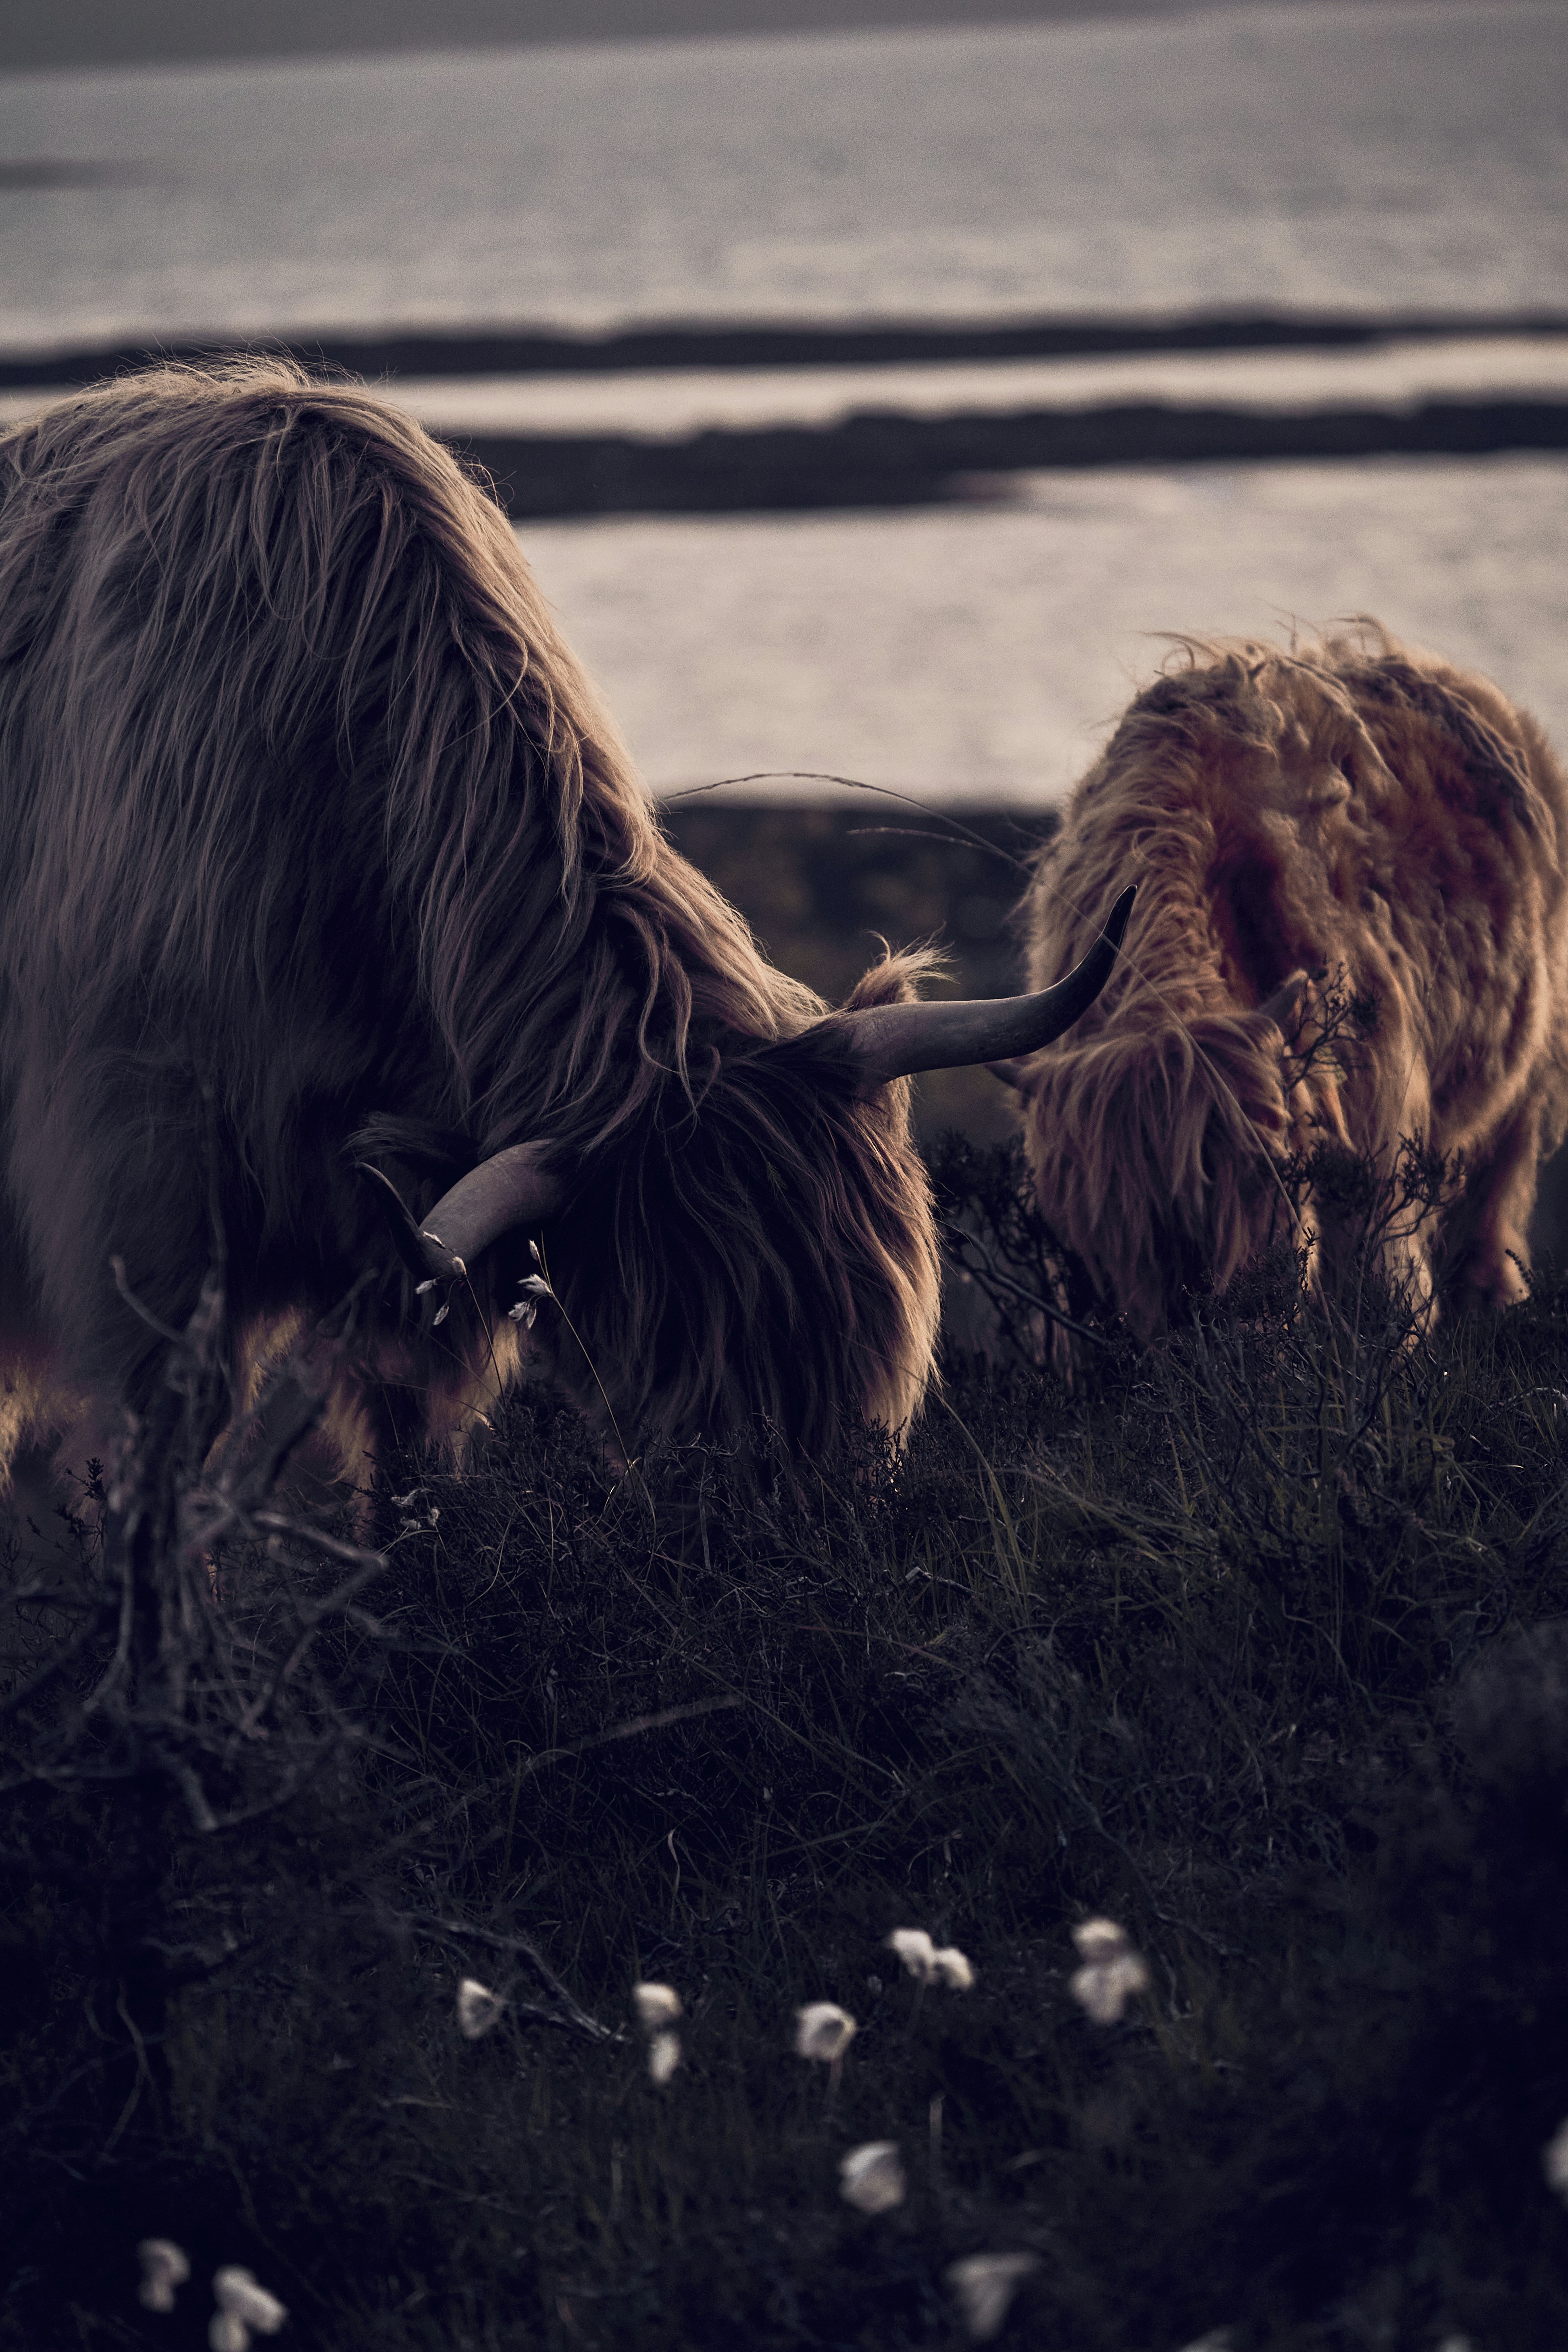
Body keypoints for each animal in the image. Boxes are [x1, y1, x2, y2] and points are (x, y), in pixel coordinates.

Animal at [0, 358, 1128, 1496]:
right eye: (689, 1377)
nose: (809, 1509)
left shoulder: (407, 1263)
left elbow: (409, 1453)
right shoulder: (146, 1194)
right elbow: (171, 1447)